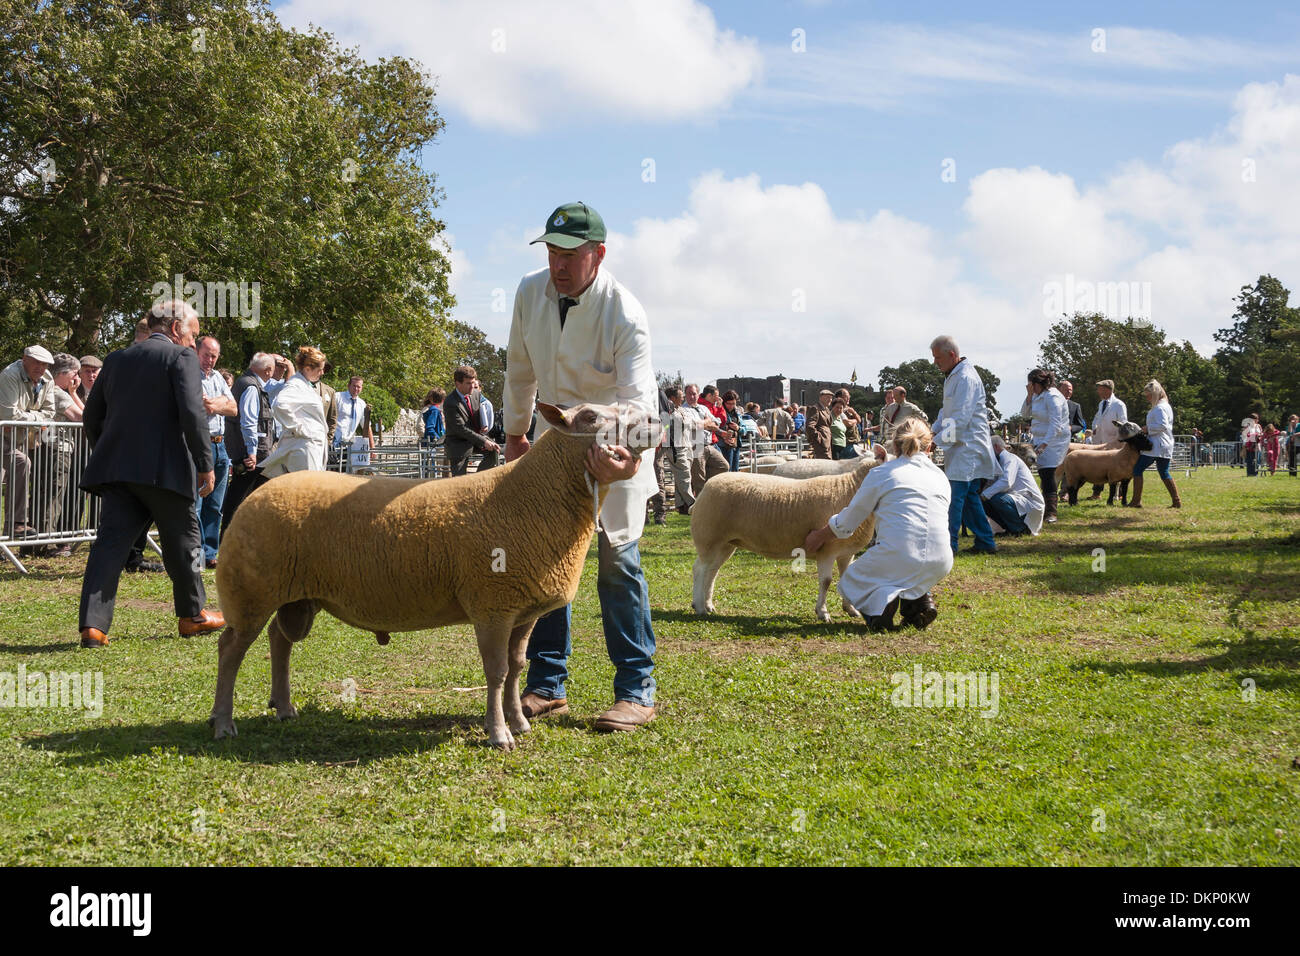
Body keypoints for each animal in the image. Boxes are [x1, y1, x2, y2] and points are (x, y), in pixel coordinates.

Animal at [208, 400, 660, 751]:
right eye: (589, 417)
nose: (654, 421)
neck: (531, 495)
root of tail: (256, 494)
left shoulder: (523, 610)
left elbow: (516, 668)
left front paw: (518, 722)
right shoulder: (492, 606)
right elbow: (496, 673)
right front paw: (498, 734)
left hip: (295, 595)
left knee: (280, 640)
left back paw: (284, 707)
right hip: (250, 590)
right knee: (230, 649)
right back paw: (223, 722)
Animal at [690, 457, 882, 622]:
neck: (851, 491)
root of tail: (706, 487)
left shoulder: (846, 552)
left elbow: (845, 579)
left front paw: (850, 609)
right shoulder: (827, 550)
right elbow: (826, 582)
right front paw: (822, 612)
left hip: (726, 543)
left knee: (712, 571)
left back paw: (708, 605)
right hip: (708, 537)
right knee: (700, 569)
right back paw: (699, 607)